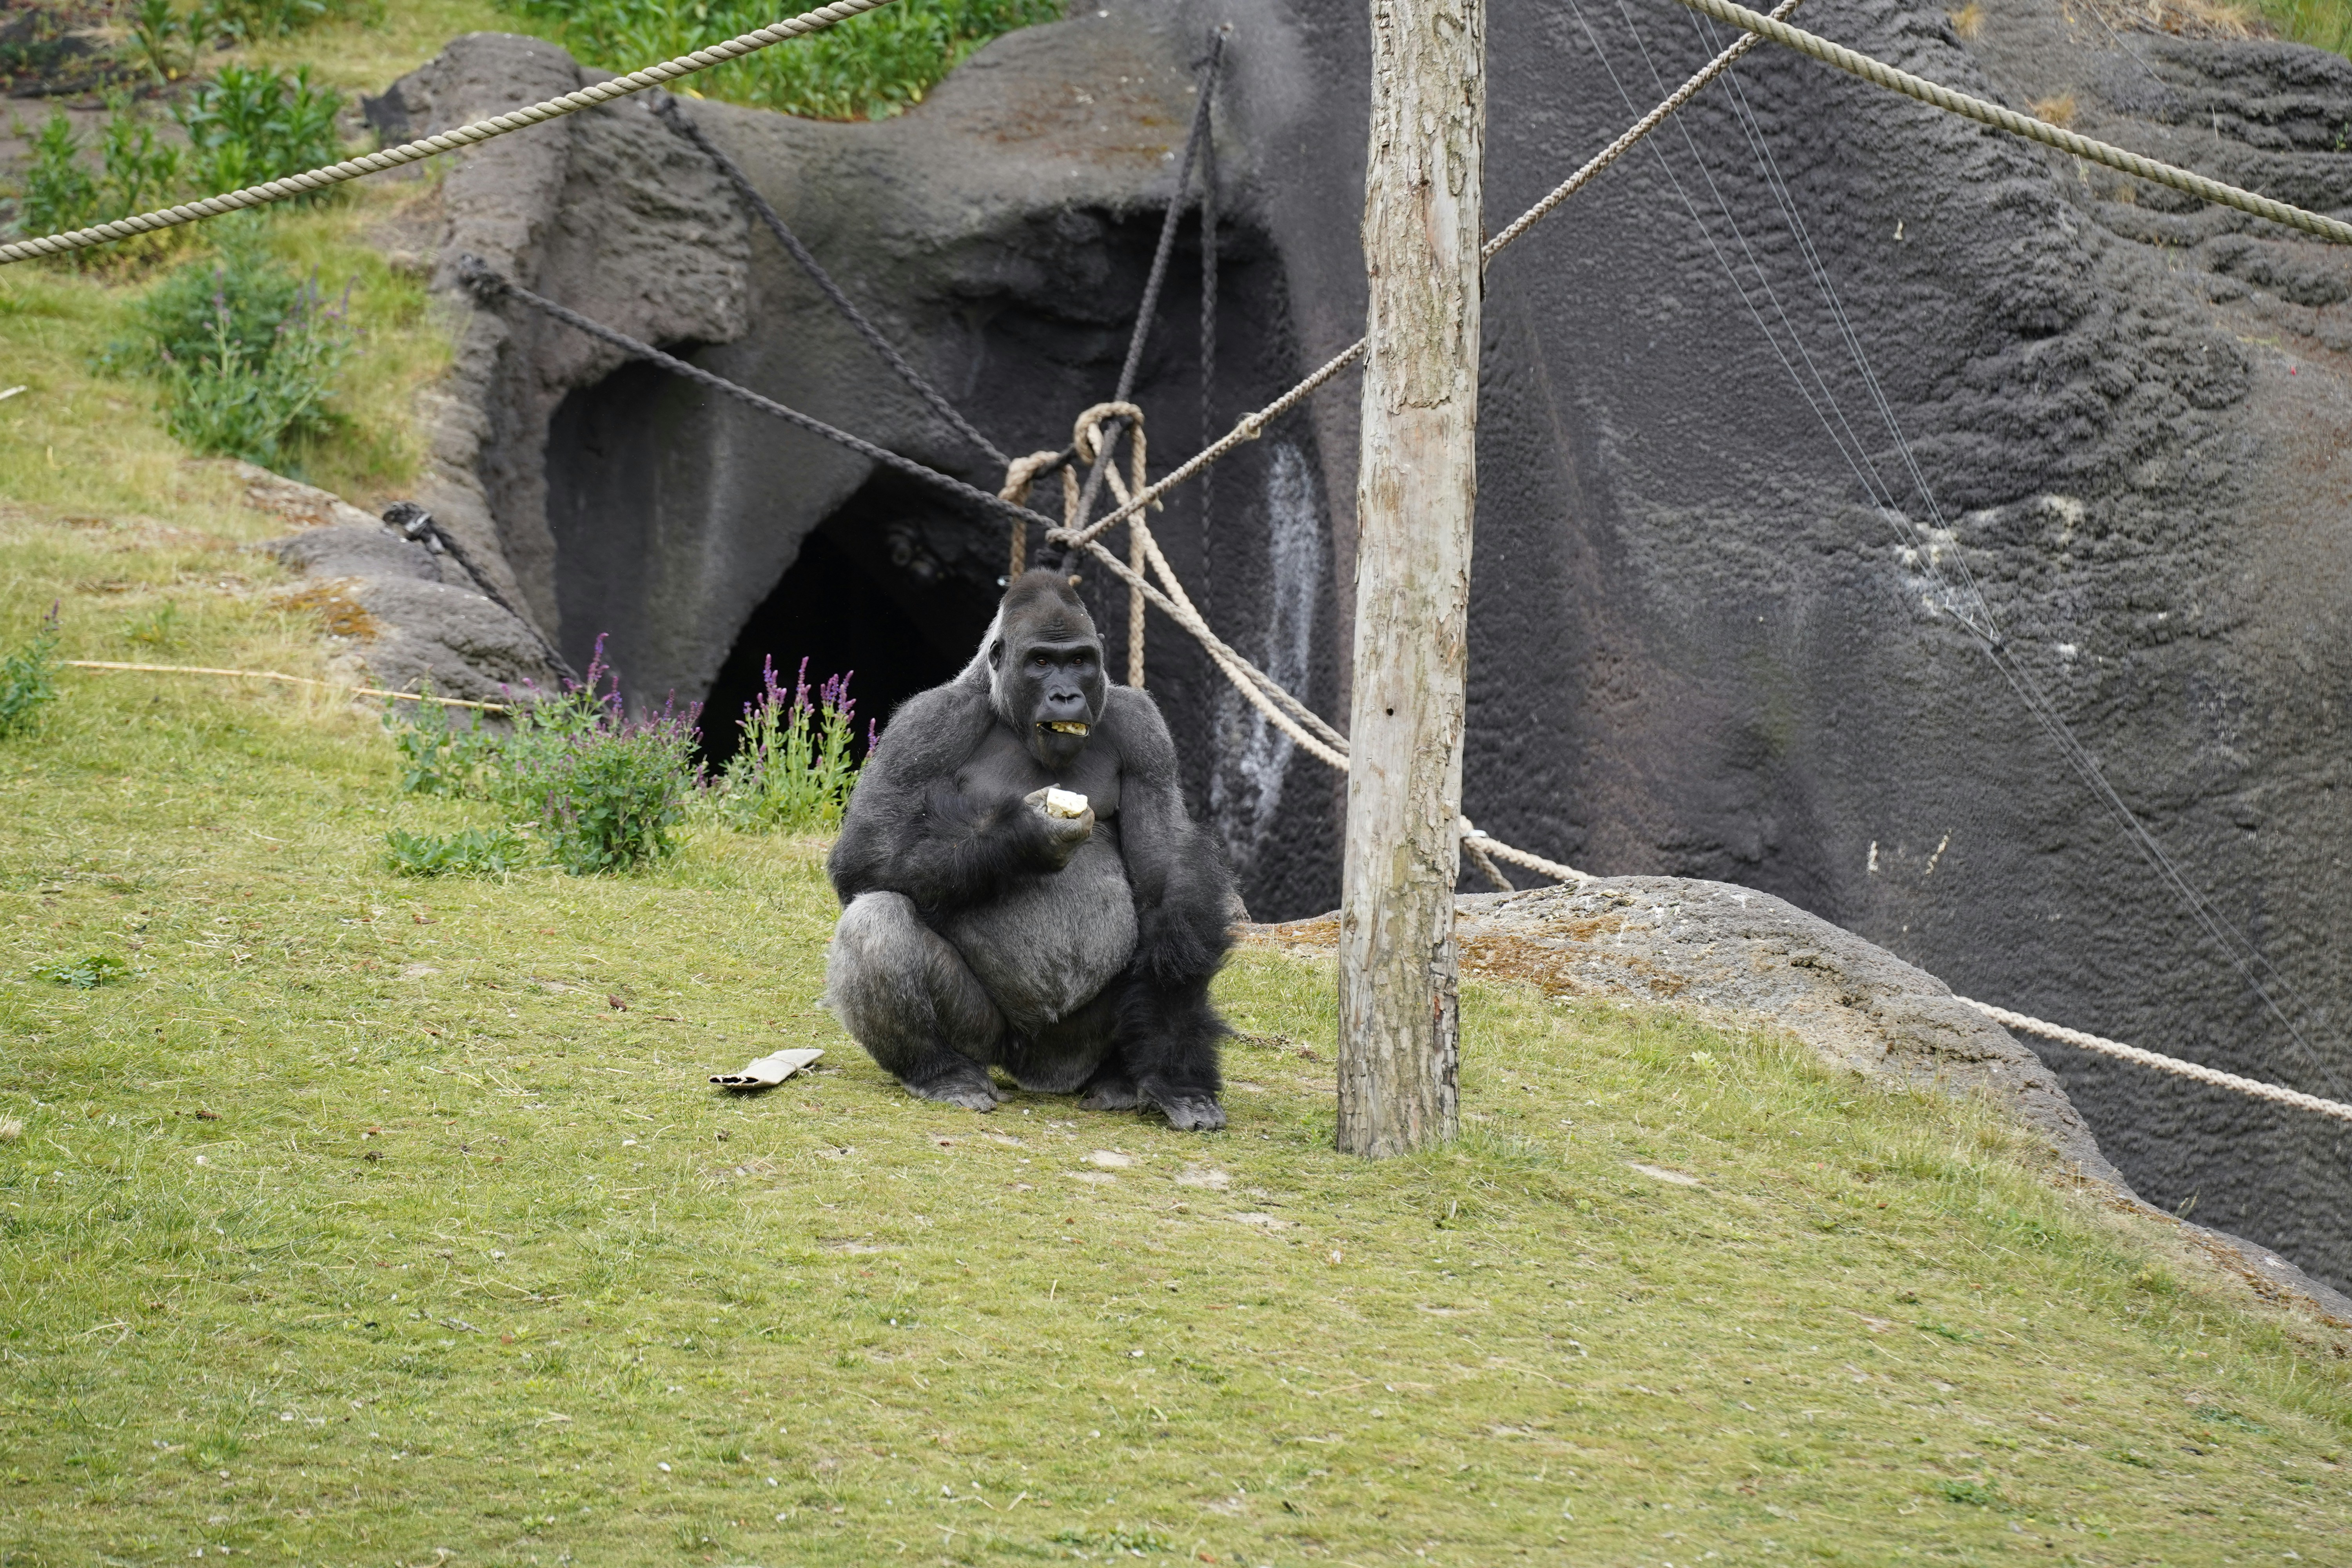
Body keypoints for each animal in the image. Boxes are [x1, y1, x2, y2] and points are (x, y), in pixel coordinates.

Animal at [822, 569, 1234, 1130]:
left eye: (1079, 661)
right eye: (1041, 662)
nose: (1064, 695)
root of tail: (1046, 1074)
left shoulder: (1143, 728)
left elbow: (1167, 883)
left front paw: (1177, 1062)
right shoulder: (926, 724)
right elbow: (867, 853)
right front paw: (1026, 836)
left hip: (1079, 1047)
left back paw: (1122, 1080)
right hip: (991, 1040)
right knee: (876, 917)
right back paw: (938, 1071)